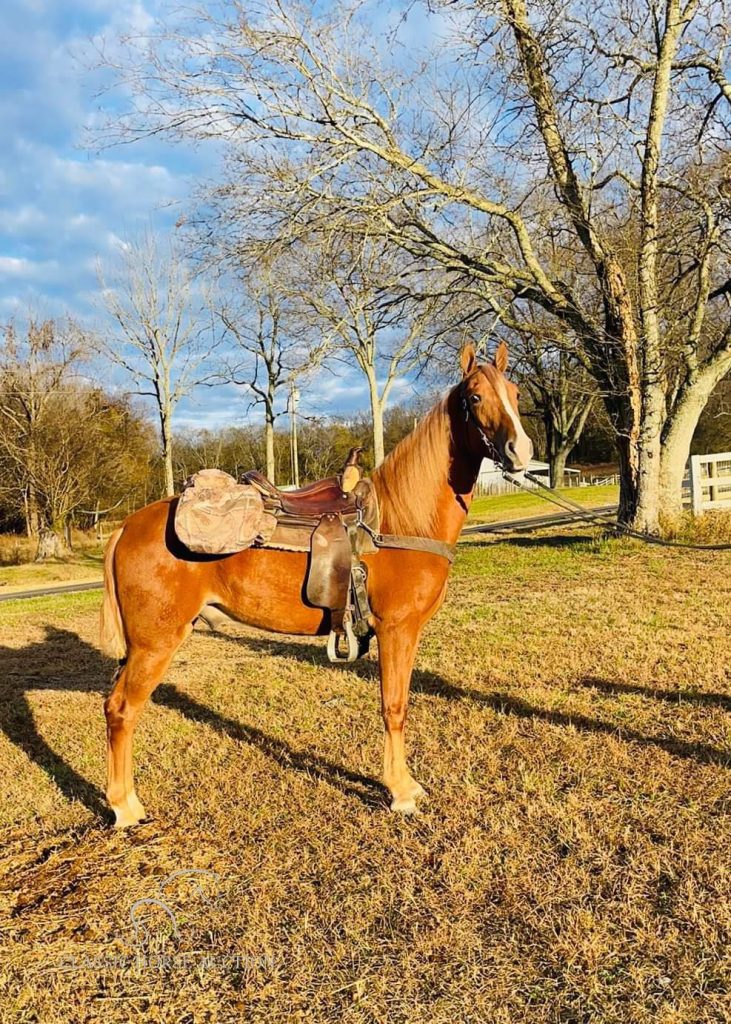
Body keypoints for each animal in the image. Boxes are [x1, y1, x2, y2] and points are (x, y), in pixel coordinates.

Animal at [99, 342, 533, 827]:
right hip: (154, 644)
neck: (400, 520)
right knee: (122, 710)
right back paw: (125, 807)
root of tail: (127, 526)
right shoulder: (397, 630)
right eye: (475, 397)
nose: (520, 450)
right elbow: (394, 706)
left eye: (515, 392)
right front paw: (401, 791)